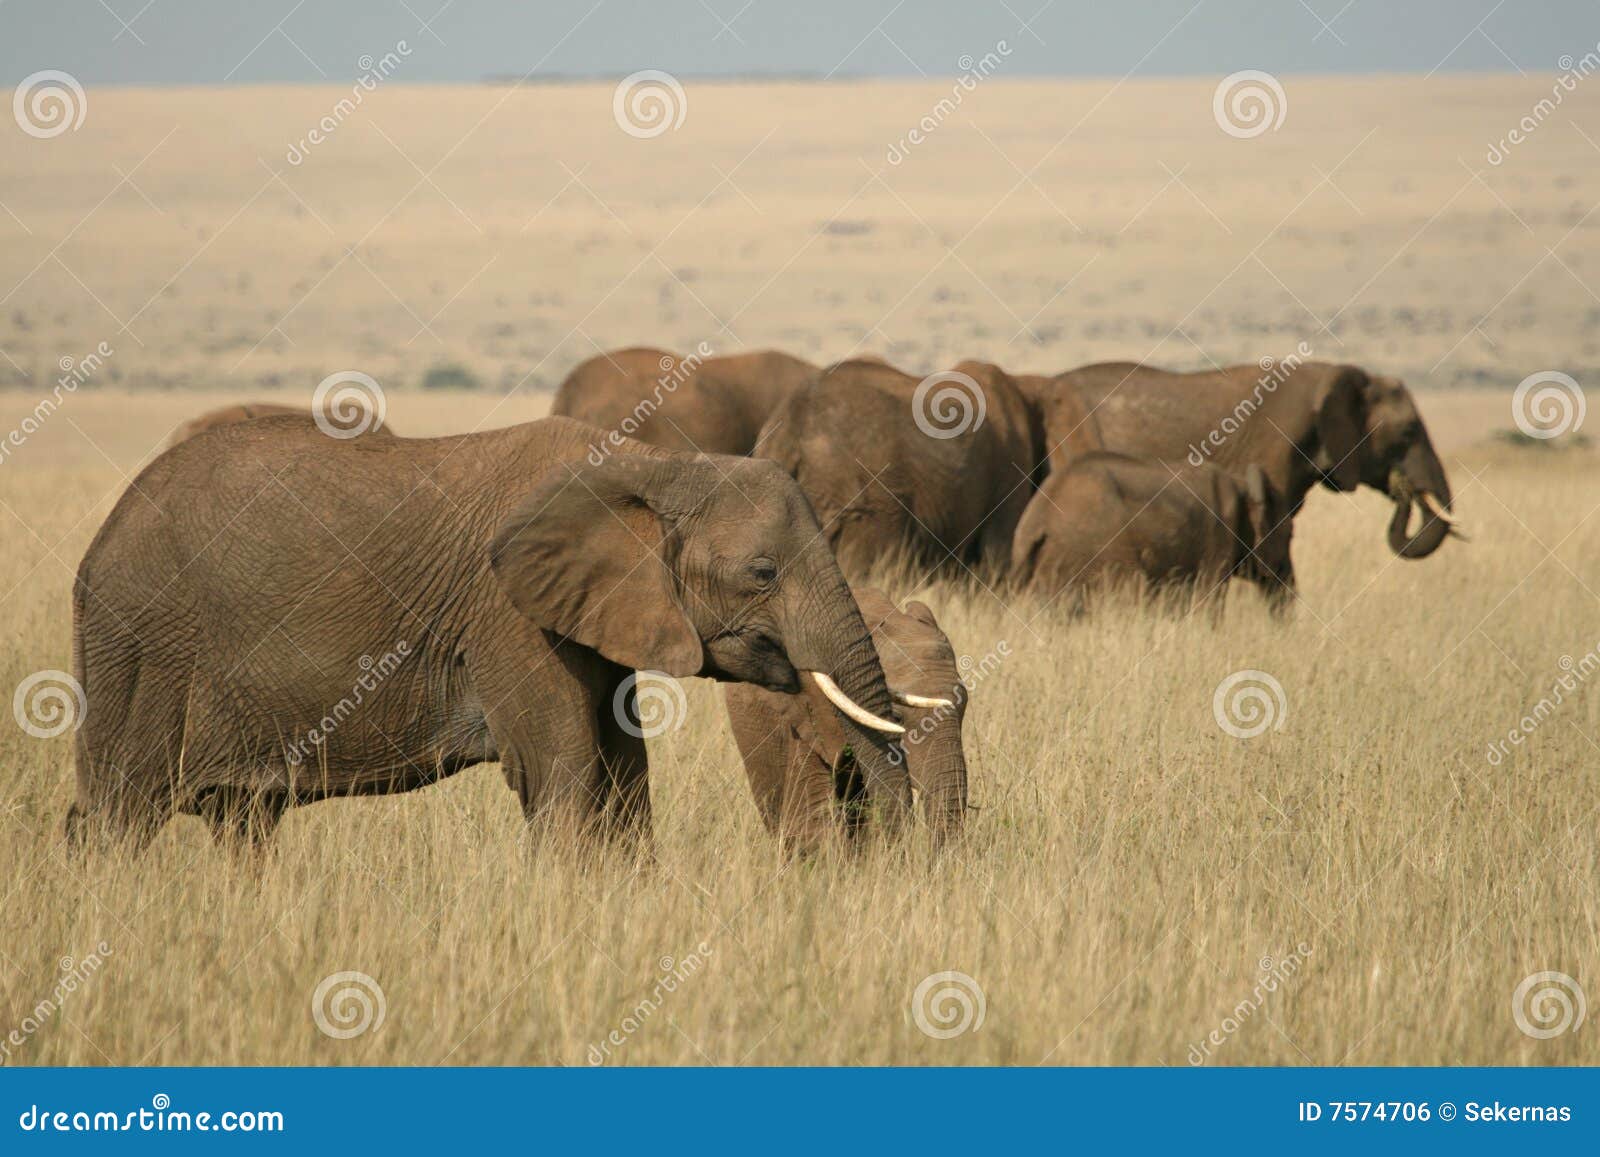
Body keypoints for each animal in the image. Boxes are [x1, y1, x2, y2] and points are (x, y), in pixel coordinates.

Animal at [68, 415, 912, 849]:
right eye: (763, 572)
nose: (890, 849)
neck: (654, 463)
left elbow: (625, 781)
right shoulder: (508, 614)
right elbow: (561, 776)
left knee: (239, 819)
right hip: (140, 641)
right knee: (119, 811)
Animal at [1012, 453, 1295, 615]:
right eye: (1289, 535)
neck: (1242, 484)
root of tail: (1036, 519)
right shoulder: (1219, 540)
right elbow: (1209, 596)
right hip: (1101, 548)